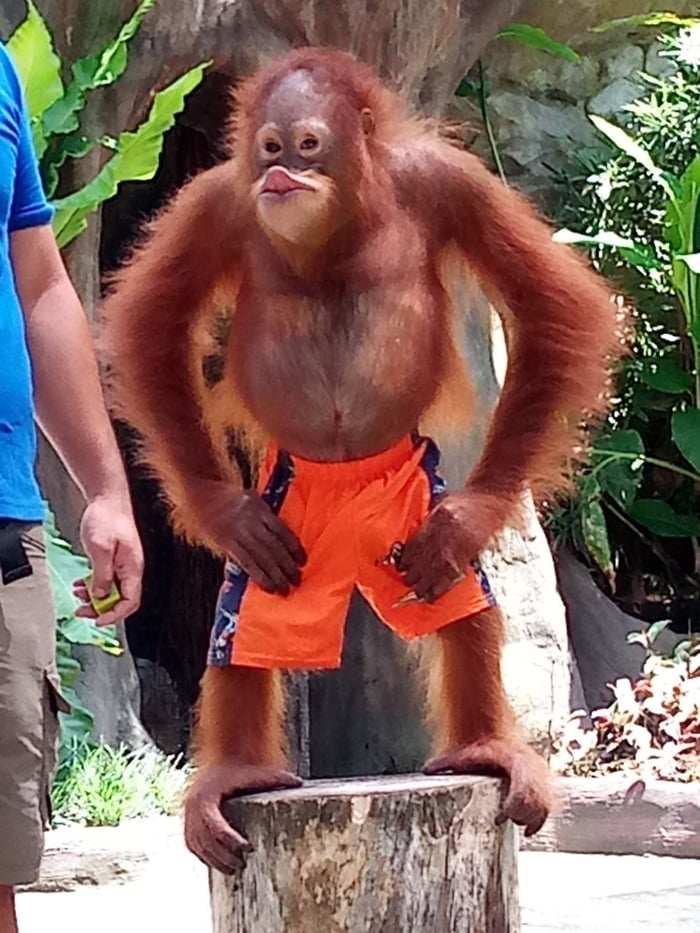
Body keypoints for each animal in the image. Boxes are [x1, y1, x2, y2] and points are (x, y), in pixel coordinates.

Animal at [101, 47, 623, 874]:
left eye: (309, 145)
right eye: (270, 147)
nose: (281, 174)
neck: (336, 228)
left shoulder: (452, 182)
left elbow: (551, 309)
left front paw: (472, 518)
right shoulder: (217, 202)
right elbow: (150, 327)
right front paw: (224, 515)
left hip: (410, 497)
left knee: (463, 605)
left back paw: (485, 747)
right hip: (284, 533)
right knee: (245, 625)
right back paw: (235, 772)